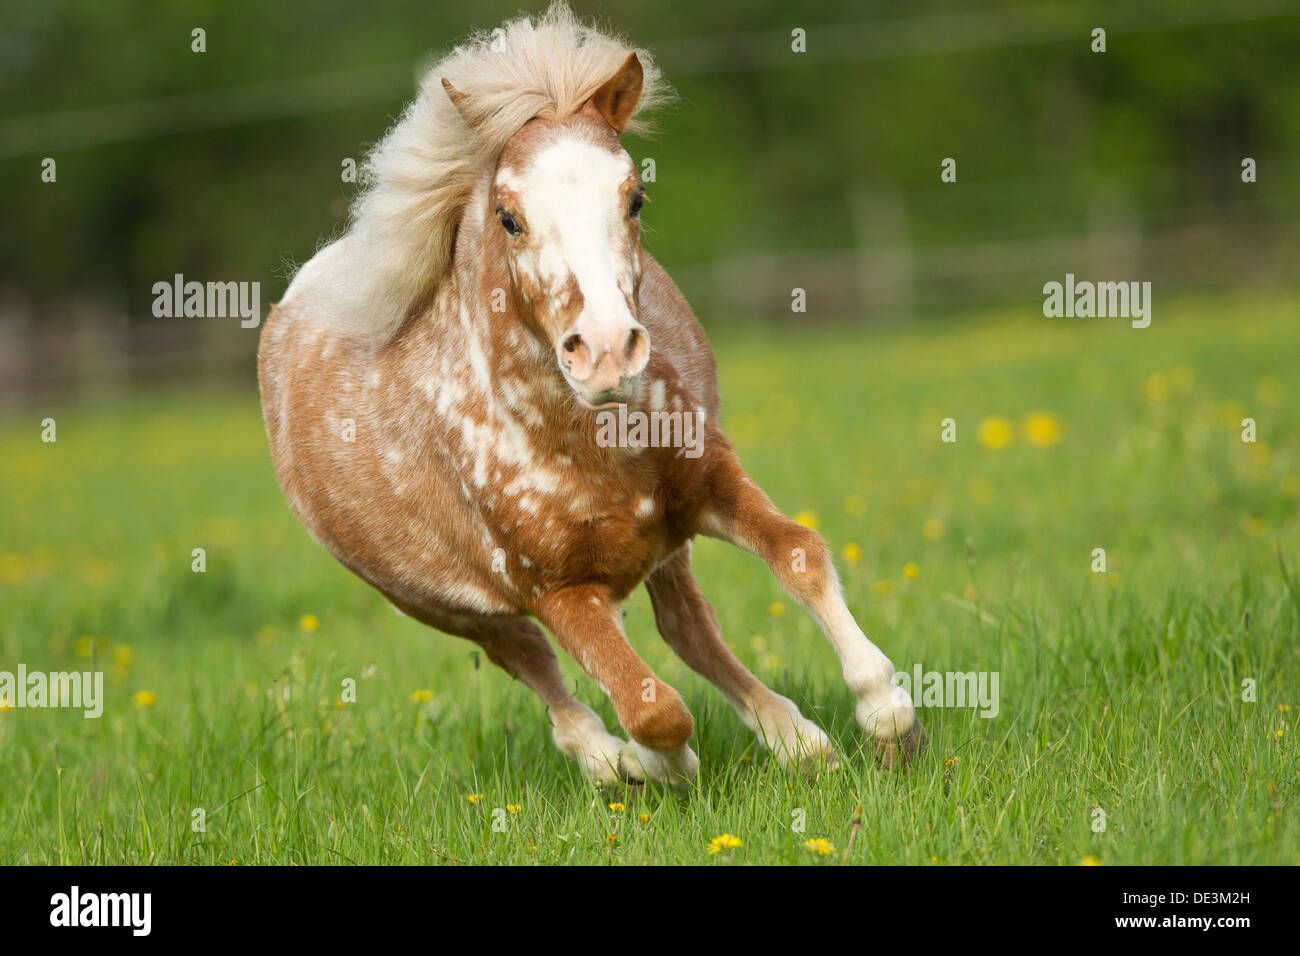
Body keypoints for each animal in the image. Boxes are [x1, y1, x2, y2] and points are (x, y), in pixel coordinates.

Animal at [258, 3, 924, 785]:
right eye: (509, 217)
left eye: (635, 196)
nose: (606, 353)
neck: (580, 436)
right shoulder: (559, 593)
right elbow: (652, 707)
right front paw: (655, 764)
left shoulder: (707, 485)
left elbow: (799, 555)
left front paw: (886, 716)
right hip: (444, 605)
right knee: (535, 665)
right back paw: (610, 761)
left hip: (665, 548)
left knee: (688, 629)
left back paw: (795, 742)